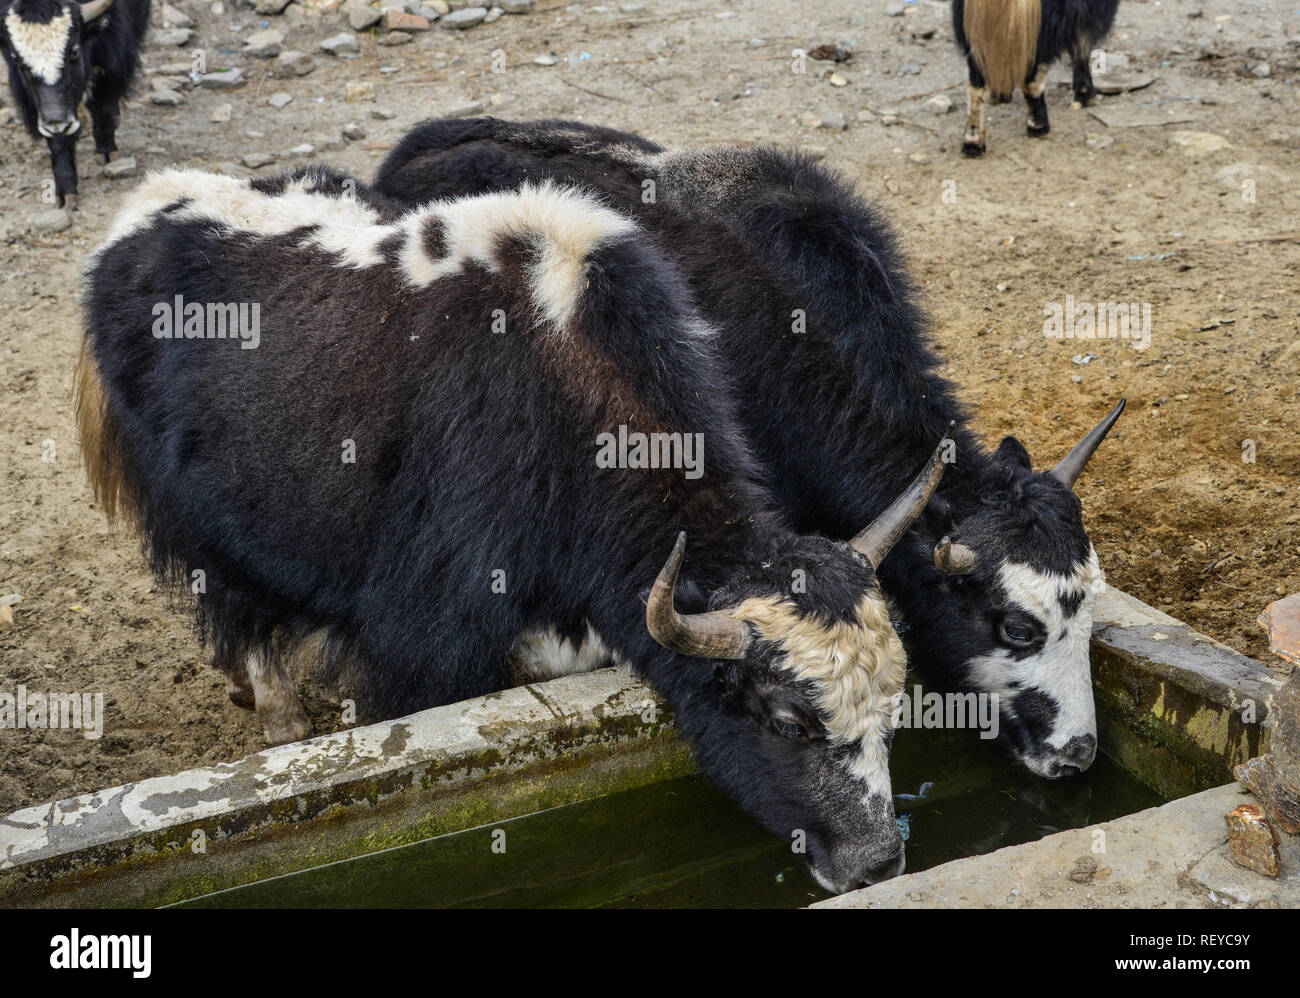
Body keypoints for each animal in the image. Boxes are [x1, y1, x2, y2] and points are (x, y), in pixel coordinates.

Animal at [0, 0, 149, 208]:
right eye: (18, 60)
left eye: (74, 52)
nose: (57, 122)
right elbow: (58, 141)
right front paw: (65, 191)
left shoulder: (114, 42)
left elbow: (103, 102)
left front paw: (106, 152)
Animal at [75, 166, 952, 892]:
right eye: (787, 720)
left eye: (893, 708)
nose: (878, 863)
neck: (575, 399)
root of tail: (144, 207)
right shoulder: (429, 642)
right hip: (193, 517)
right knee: (238, 611)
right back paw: (282, 720)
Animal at [953, 0, 1120, 156]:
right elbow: (1081, 41)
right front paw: (1086, 95)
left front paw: (1000, 94)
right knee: (1032, 73)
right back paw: (1039, 126)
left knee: (976, 82)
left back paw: (973, 143)